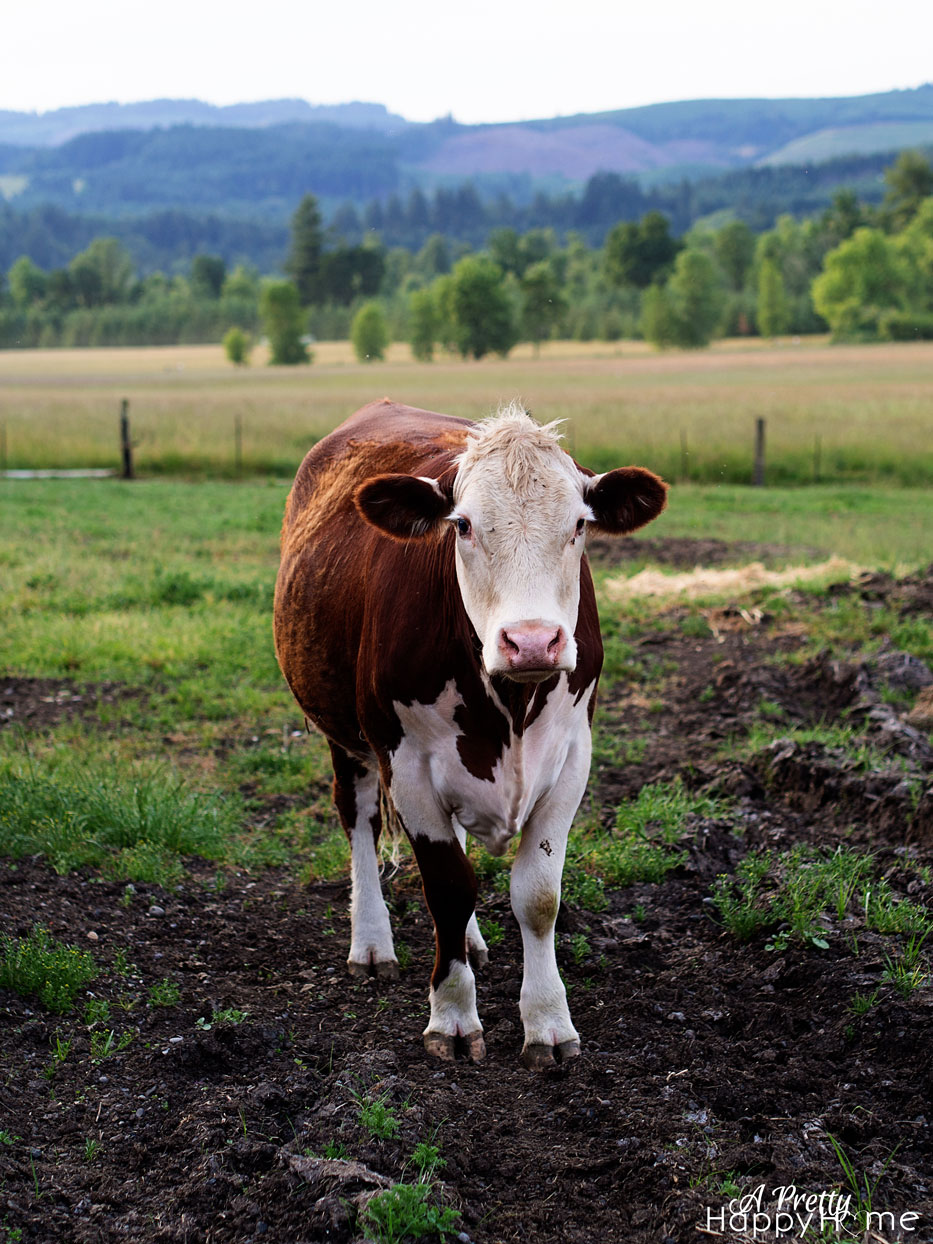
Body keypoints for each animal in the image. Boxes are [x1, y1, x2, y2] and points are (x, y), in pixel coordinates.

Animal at [274, 399, 667, 1070]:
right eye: (461, 526)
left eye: (579, 525)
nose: (532, 641)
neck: (509, 705)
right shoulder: (405, 763)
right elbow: (448, 887)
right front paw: (453, 1016)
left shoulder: (572, 757)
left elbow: (537, 896)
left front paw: (548, 1023)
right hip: (346, 737)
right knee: (359, 820)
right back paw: (371, 943)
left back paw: (474, 941)